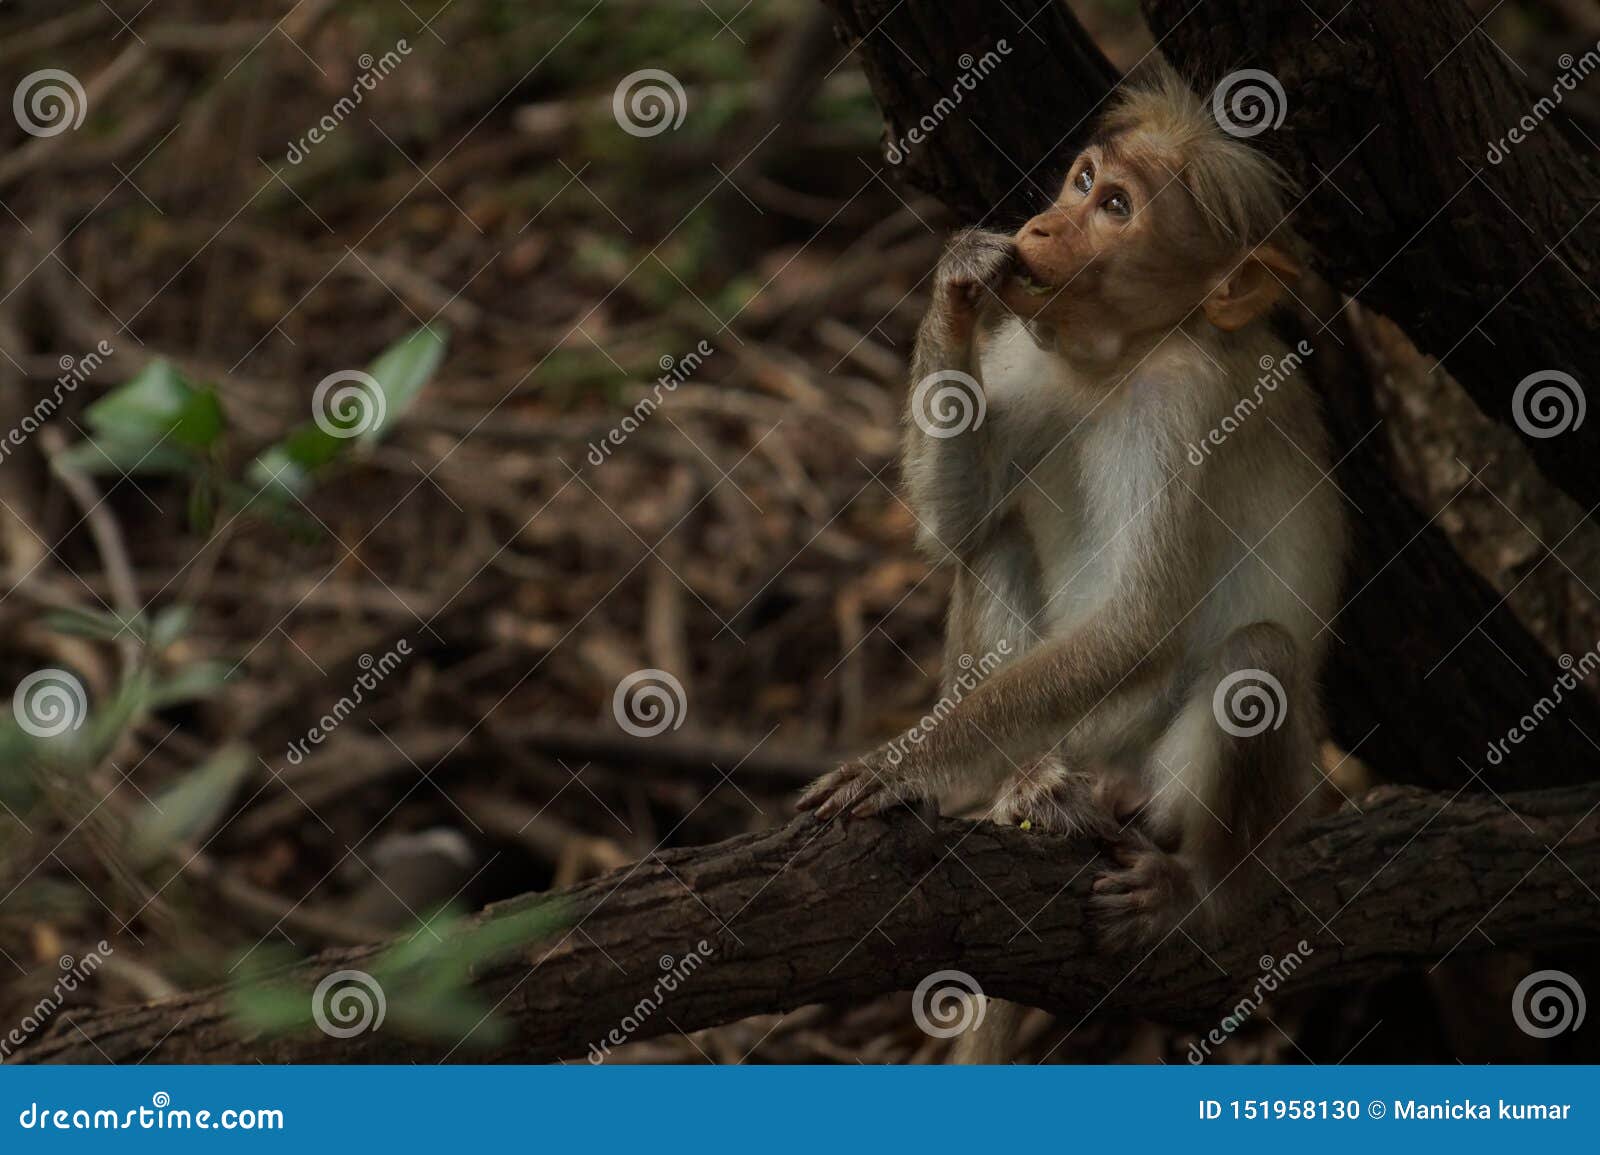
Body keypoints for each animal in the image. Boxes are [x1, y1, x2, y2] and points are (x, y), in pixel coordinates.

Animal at [796, 69, 1347, 1060]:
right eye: (1083, 180)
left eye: (1117, 207)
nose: (1043, 225)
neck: (1117, 359)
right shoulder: (1022, 344)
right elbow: (961, 527)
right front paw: (958, 281)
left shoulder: (1184, 403)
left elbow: (1139, 621)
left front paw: (902, 763)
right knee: (997, 541)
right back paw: (1033, 784)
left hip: (1200, 779)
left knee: (1259, 658)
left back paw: (1202, 888)